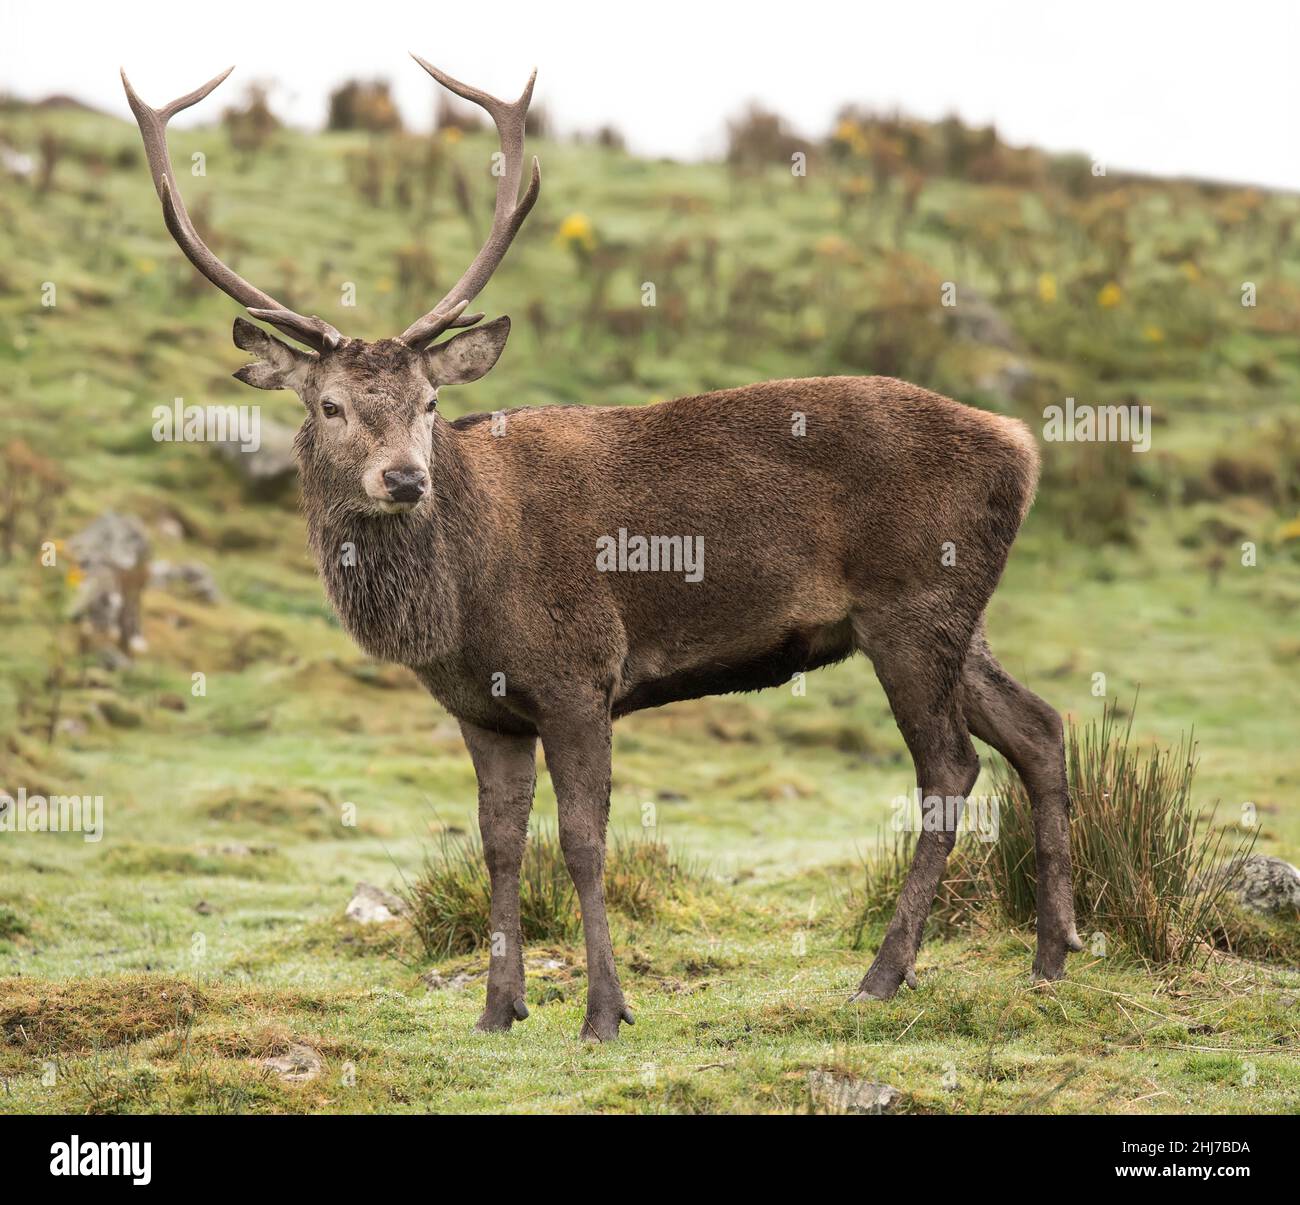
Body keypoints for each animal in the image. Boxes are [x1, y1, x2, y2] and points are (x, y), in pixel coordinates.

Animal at [122, 56, 1081, 1042]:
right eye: (330, 405)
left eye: (429, 402)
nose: (404, 478)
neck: (459, 604)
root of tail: (1023, 447)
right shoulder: (483, 709)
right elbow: (500, 845)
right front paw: (499, 1007)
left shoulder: (579, 671)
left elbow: (583, 841)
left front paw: (604, 1009)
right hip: (957, 616)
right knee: (1040, 728)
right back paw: (1052, 956)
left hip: (911, 606)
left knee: (950, 768)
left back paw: (884, 975)